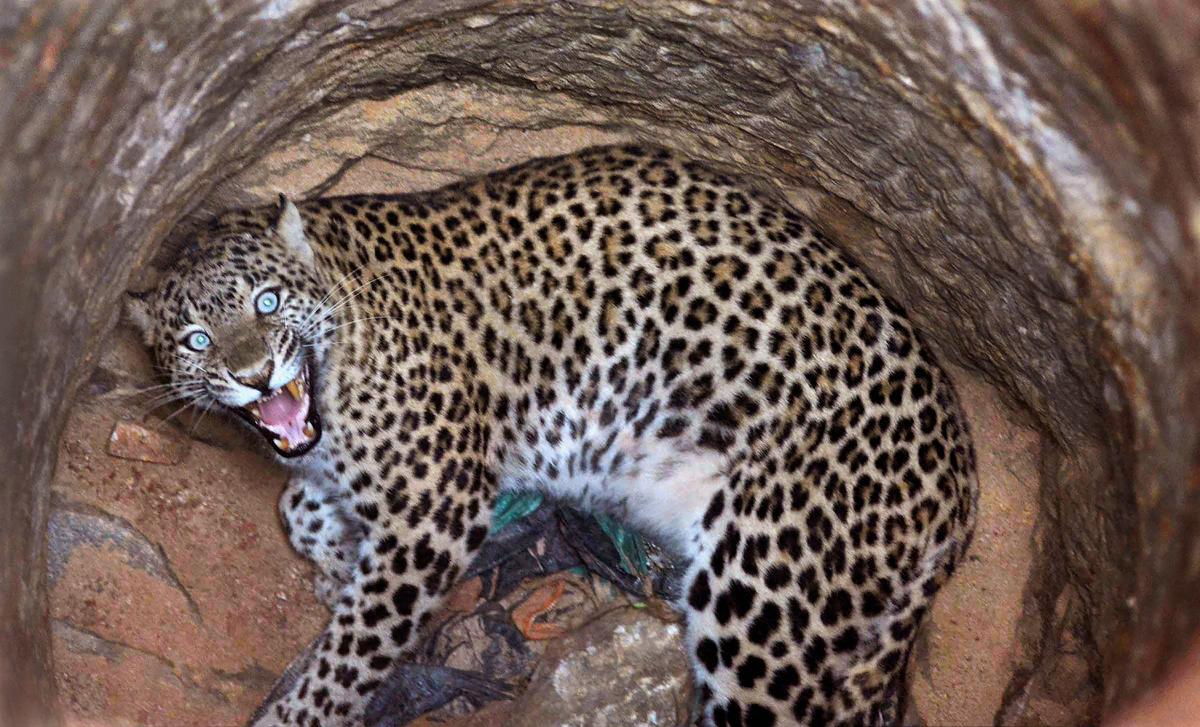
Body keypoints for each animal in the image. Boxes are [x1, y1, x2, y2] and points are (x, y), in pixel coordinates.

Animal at [126, 144, 978, 727]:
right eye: (197, 339)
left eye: (267, 302)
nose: (255, 374)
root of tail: (963, 480)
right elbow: (298, 511)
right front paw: (336, 562)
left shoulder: (438, 499)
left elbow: (356, 646)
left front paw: (302, 703)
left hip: (765, 593)